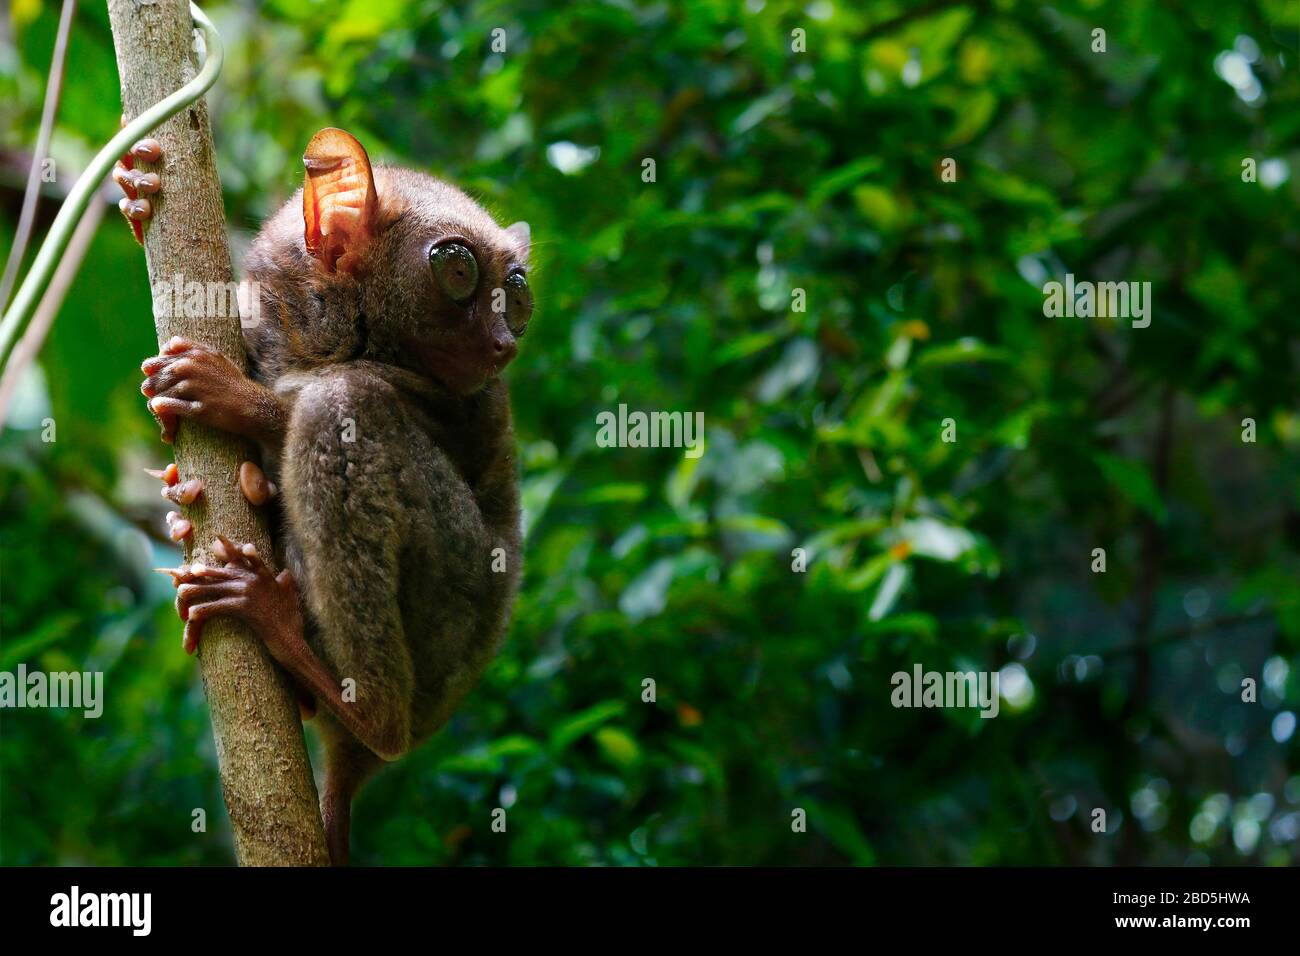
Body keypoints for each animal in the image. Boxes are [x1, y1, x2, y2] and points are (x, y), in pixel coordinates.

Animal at [117, 128, 530, 865]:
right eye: (460, 274)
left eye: (517, 293)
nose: (506, 339)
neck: (327, 326)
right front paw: (138, 195)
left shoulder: (458, 402)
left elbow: (333, 402)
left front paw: (228, 396)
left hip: (450, 604)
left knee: (342, 404)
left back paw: (298, 642)